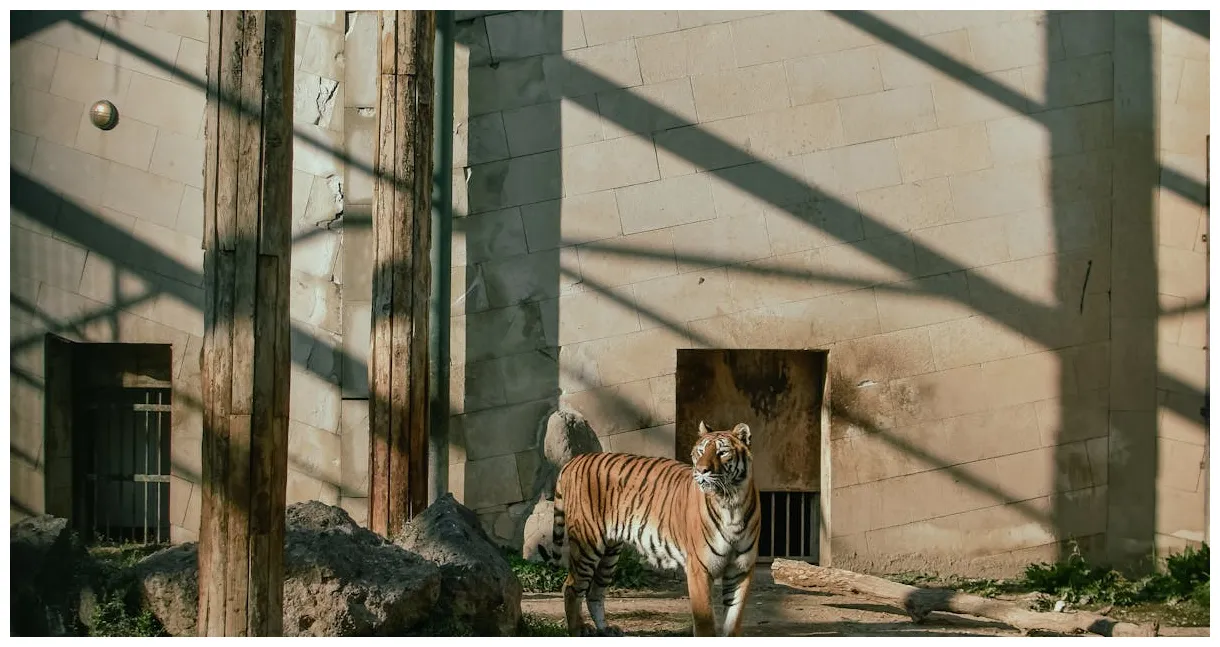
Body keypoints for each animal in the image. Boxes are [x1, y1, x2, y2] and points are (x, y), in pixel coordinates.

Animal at [550, 420, 761, 637]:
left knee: (595, 591)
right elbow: (705, 625)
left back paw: (606, 629)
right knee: (571, 587)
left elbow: (733, 621)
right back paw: (577, 629)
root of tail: (575, 460)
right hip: (587, 542)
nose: (702, 470)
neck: (731, 503)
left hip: (610, 552)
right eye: (700, 451)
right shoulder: (699, 569)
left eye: (722, 452)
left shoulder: (741, 570)